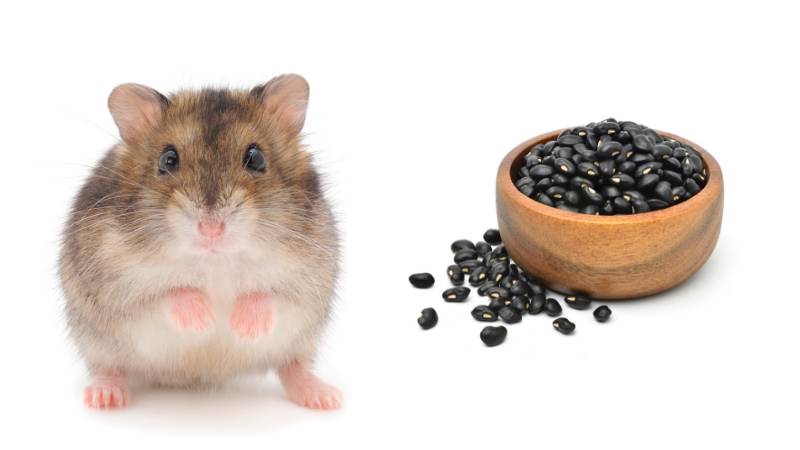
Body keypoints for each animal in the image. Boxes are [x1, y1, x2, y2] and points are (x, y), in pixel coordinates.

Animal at [59, 74, 342, 410]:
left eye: (256, 157)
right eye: (168, 159)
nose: (211, 229)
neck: (215, 259)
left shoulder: (307, 281)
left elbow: (270, 294)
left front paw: (244, 327)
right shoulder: (117, 284)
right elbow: (167, 294)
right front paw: (205, 321)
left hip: (302, 341)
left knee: (292, 365)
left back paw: (325, 397)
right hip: (96, 341)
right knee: (109, 367)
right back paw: (105, 397)